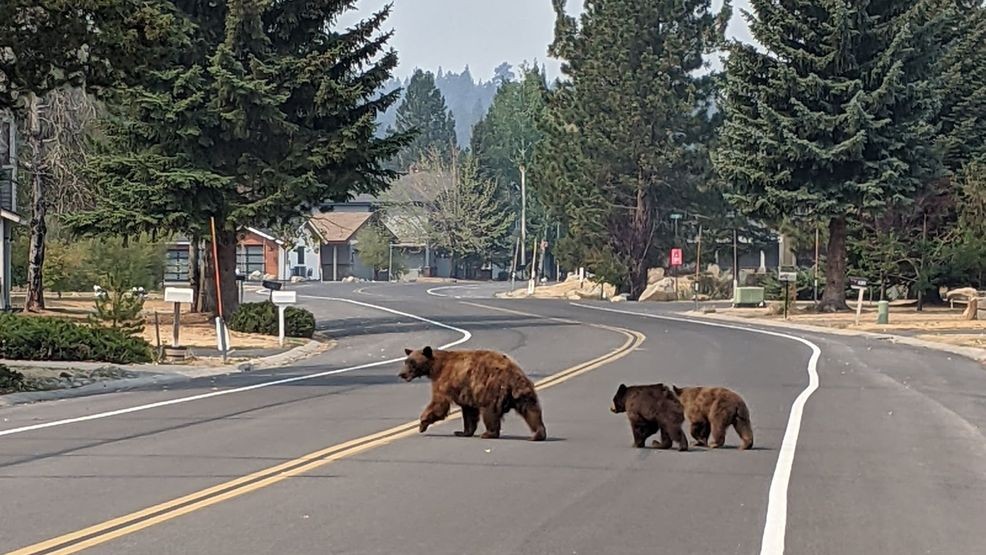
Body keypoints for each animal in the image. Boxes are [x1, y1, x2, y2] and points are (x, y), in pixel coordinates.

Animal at [400, 346, 547, 441]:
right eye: (406, 361)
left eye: (412, 362)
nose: (401, 374)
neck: (435, 367)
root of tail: (512, 375)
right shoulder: (466, 391)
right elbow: (469, 412)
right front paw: (463, 432)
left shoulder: (445, 380)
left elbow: (439, 403)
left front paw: (422, 424)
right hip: (522, 392)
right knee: (532, 411)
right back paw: (538, 435)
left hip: (493, 390)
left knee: (489, 412)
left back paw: (488, 433)